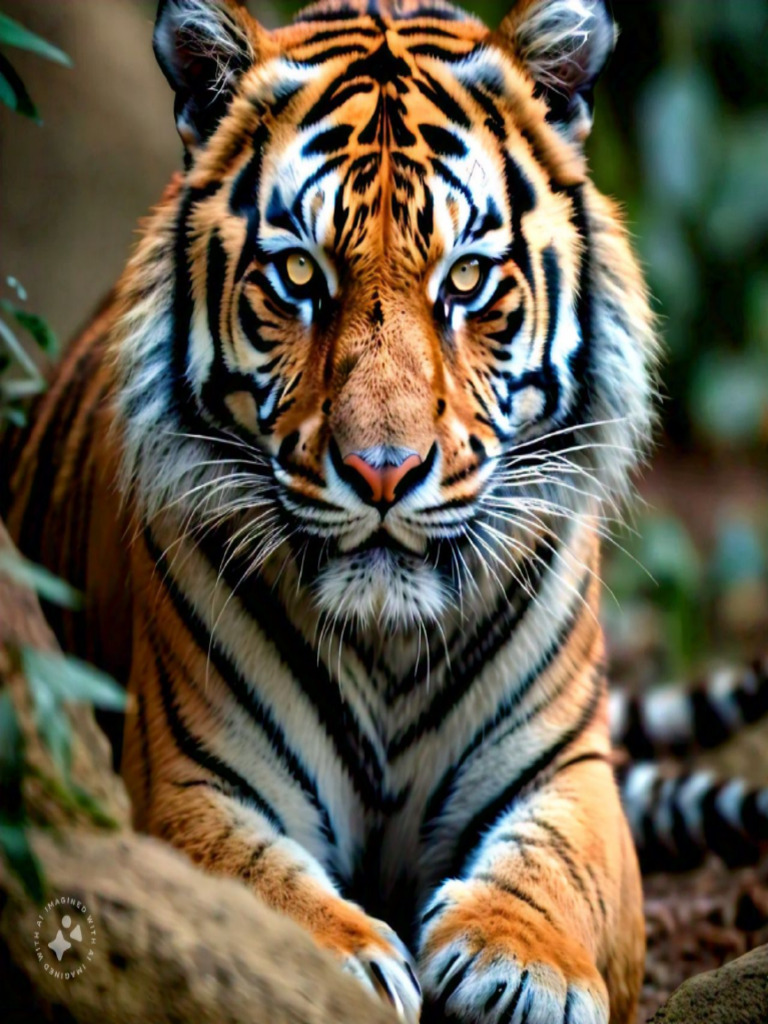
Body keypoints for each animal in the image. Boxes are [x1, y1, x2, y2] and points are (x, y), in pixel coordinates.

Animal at [4, 0, 766, 1022]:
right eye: (298, 275)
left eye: (467, 280)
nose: (382, 471)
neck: (389, 647)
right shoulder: (187, 780)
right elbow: (255, 889)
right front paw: (333, 963)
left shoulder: (569, 771)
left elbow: (560, 865)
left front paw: (520, 962)